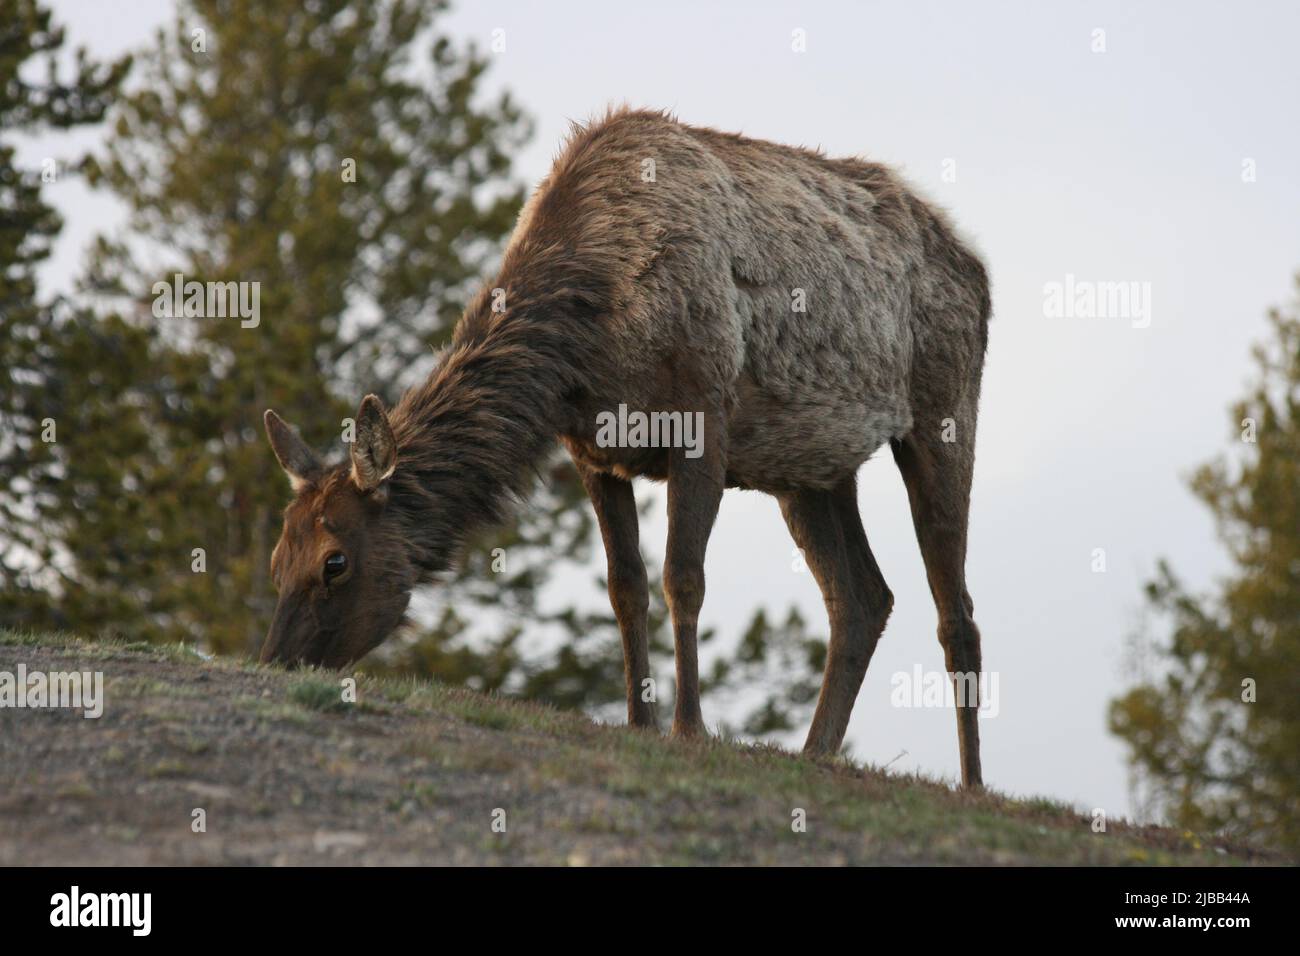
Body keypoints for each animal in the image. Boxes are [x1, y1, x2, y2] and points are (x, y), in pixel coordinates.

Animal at [261, 108, 991, 788]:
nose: (274, 663)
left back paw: (972, 782)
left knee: (955, 611)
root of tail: (976, 265)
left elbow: (682, 578)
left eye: (334, 562)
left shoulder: (702, 421)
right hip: (811, 469)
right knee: (862, 597)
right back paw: (816, 750)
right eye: (276, 558)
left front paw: (689, 727)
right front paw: (641, 721)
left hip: (945, 411)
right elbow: (626, 586)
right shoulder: (593, 451)